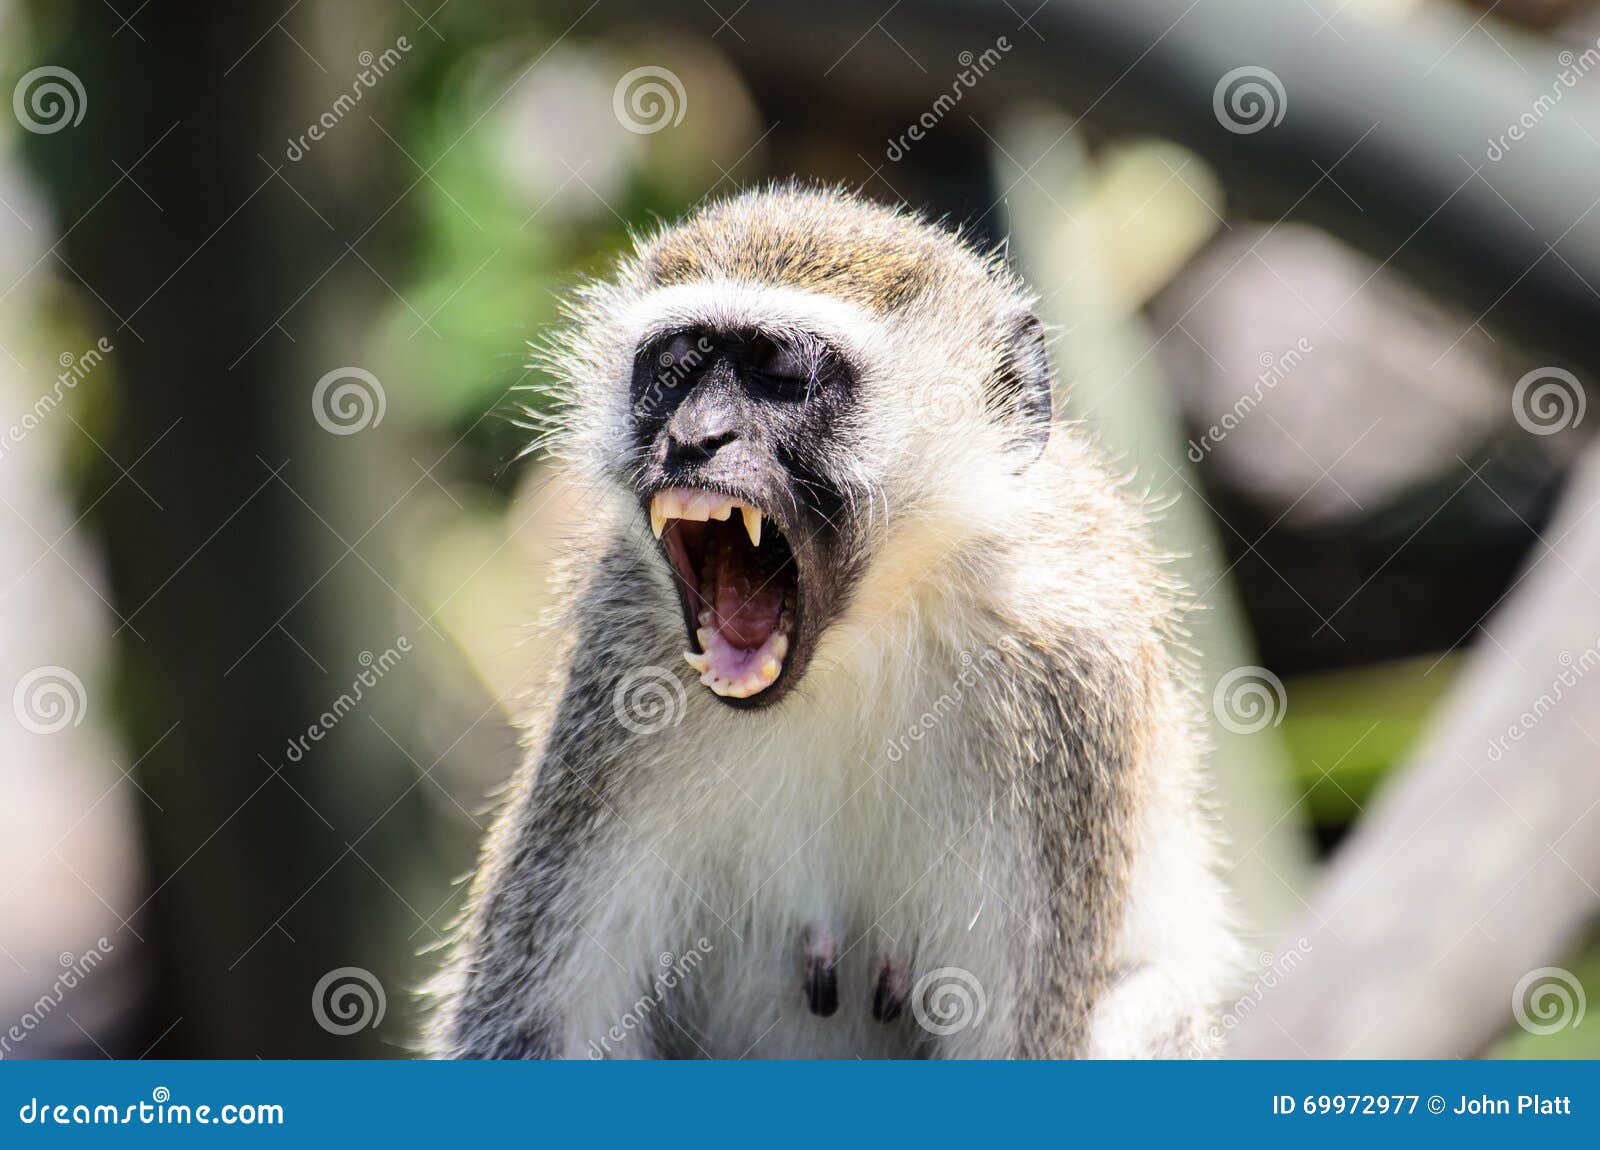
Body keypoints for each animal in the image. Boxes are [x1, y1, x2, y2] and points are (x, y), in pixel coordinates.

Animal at [426, 184, 1238, 1059]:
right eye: (675, 365)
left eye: (783, 373)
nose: (694, 438)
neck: (863, 639)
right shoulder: (620, 662)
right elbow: (530, 1024)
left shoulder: (1069, 675)